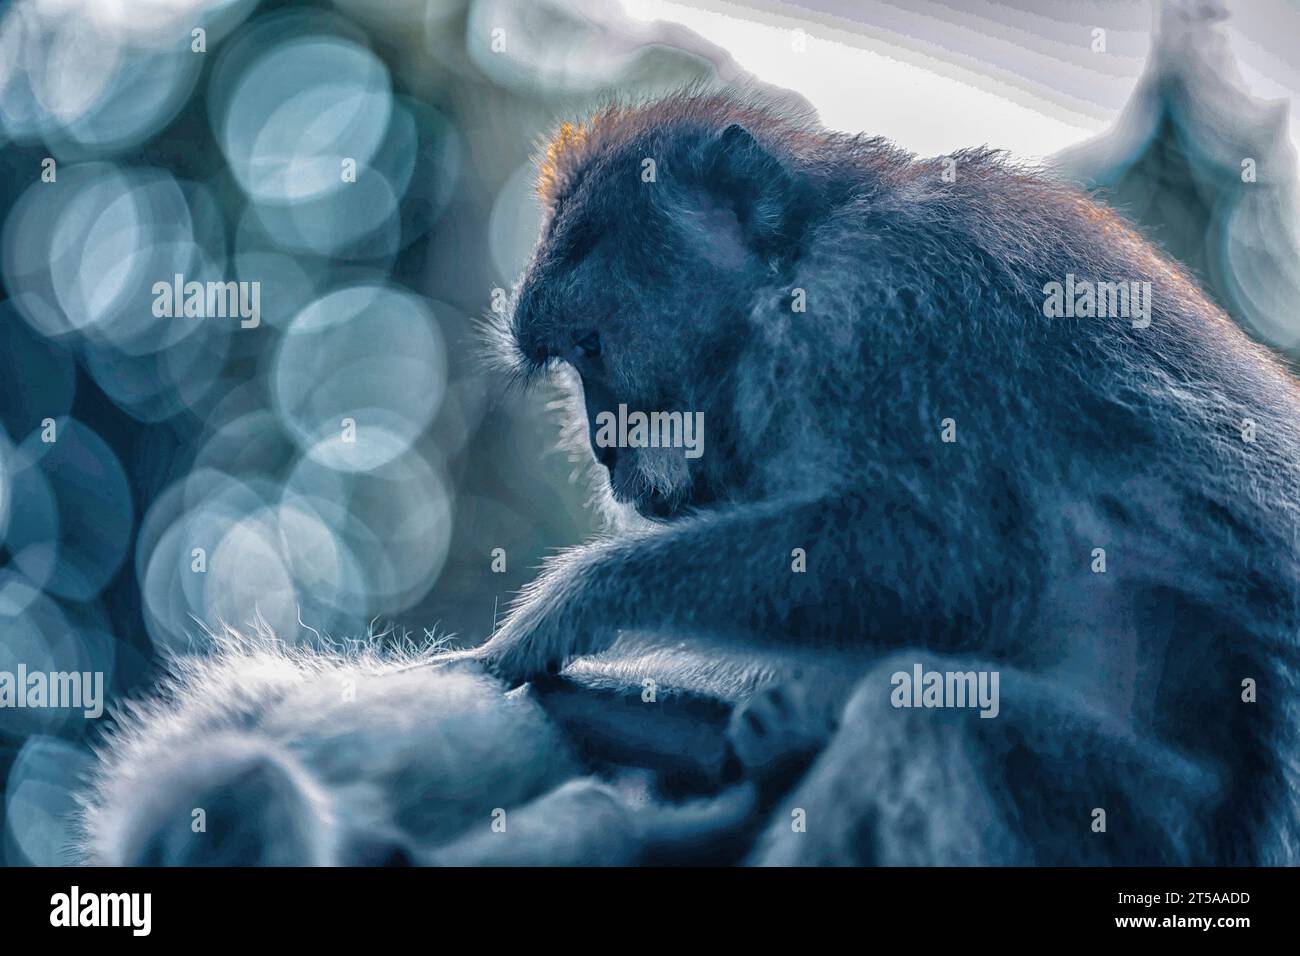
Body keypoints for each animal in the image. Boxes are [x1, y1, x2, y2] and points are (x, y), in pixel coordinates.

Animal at [447, 86, 1300, 864]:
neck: (803, 254)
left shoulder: (890, 300)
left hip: (1161, 824)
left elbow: (962, 558)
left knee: (935, 721)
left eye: (591, 346)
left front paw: (572, 601)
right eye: (571, 361)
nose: (603, 444)